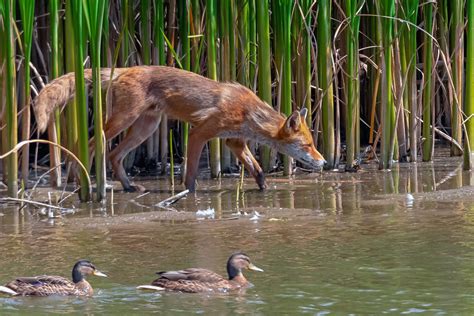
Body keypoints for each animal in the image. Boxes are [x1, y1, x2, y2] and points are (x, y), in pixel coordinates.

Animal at [34, 65, 326, 191]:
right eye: (308, 145)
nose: (324, 162)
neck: (248, 112)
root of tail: (122, 69)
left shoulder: (234, 142)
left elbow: (258, 170)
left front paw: (265, 192)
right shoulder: (199, 134)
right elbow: (191, 175)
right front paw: (189, 196)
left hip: (146, 128)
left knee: (115, 155)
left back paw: (127, 186)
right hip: (122, 122)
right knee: (90, 145)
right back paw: (78, 179)